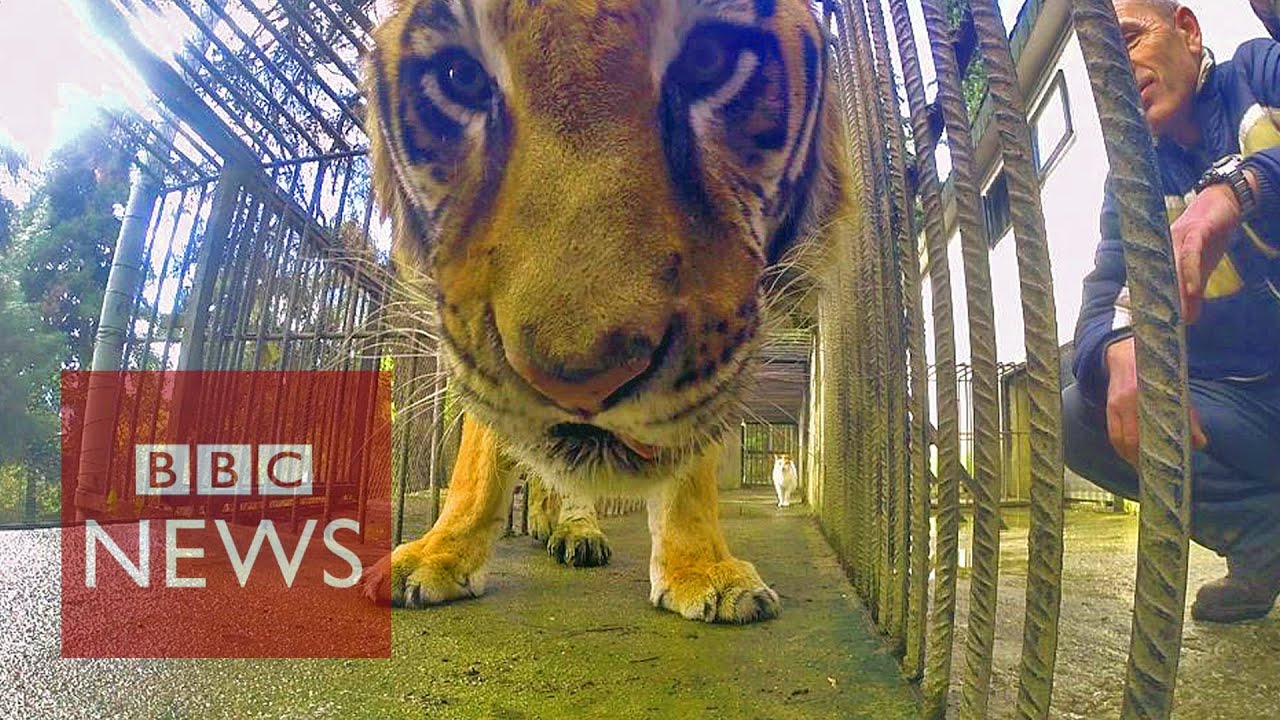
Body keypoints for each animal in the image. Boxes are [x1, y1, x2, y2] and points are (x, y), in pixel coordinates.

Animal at [360, 0, 863, 624]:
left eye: (709, 59)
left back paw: (575, 529)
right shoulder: (468, 345)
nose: (580, 382)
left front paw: (704, 571)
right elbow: (478, 461)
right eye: (461, 77)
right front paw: (437, 555)